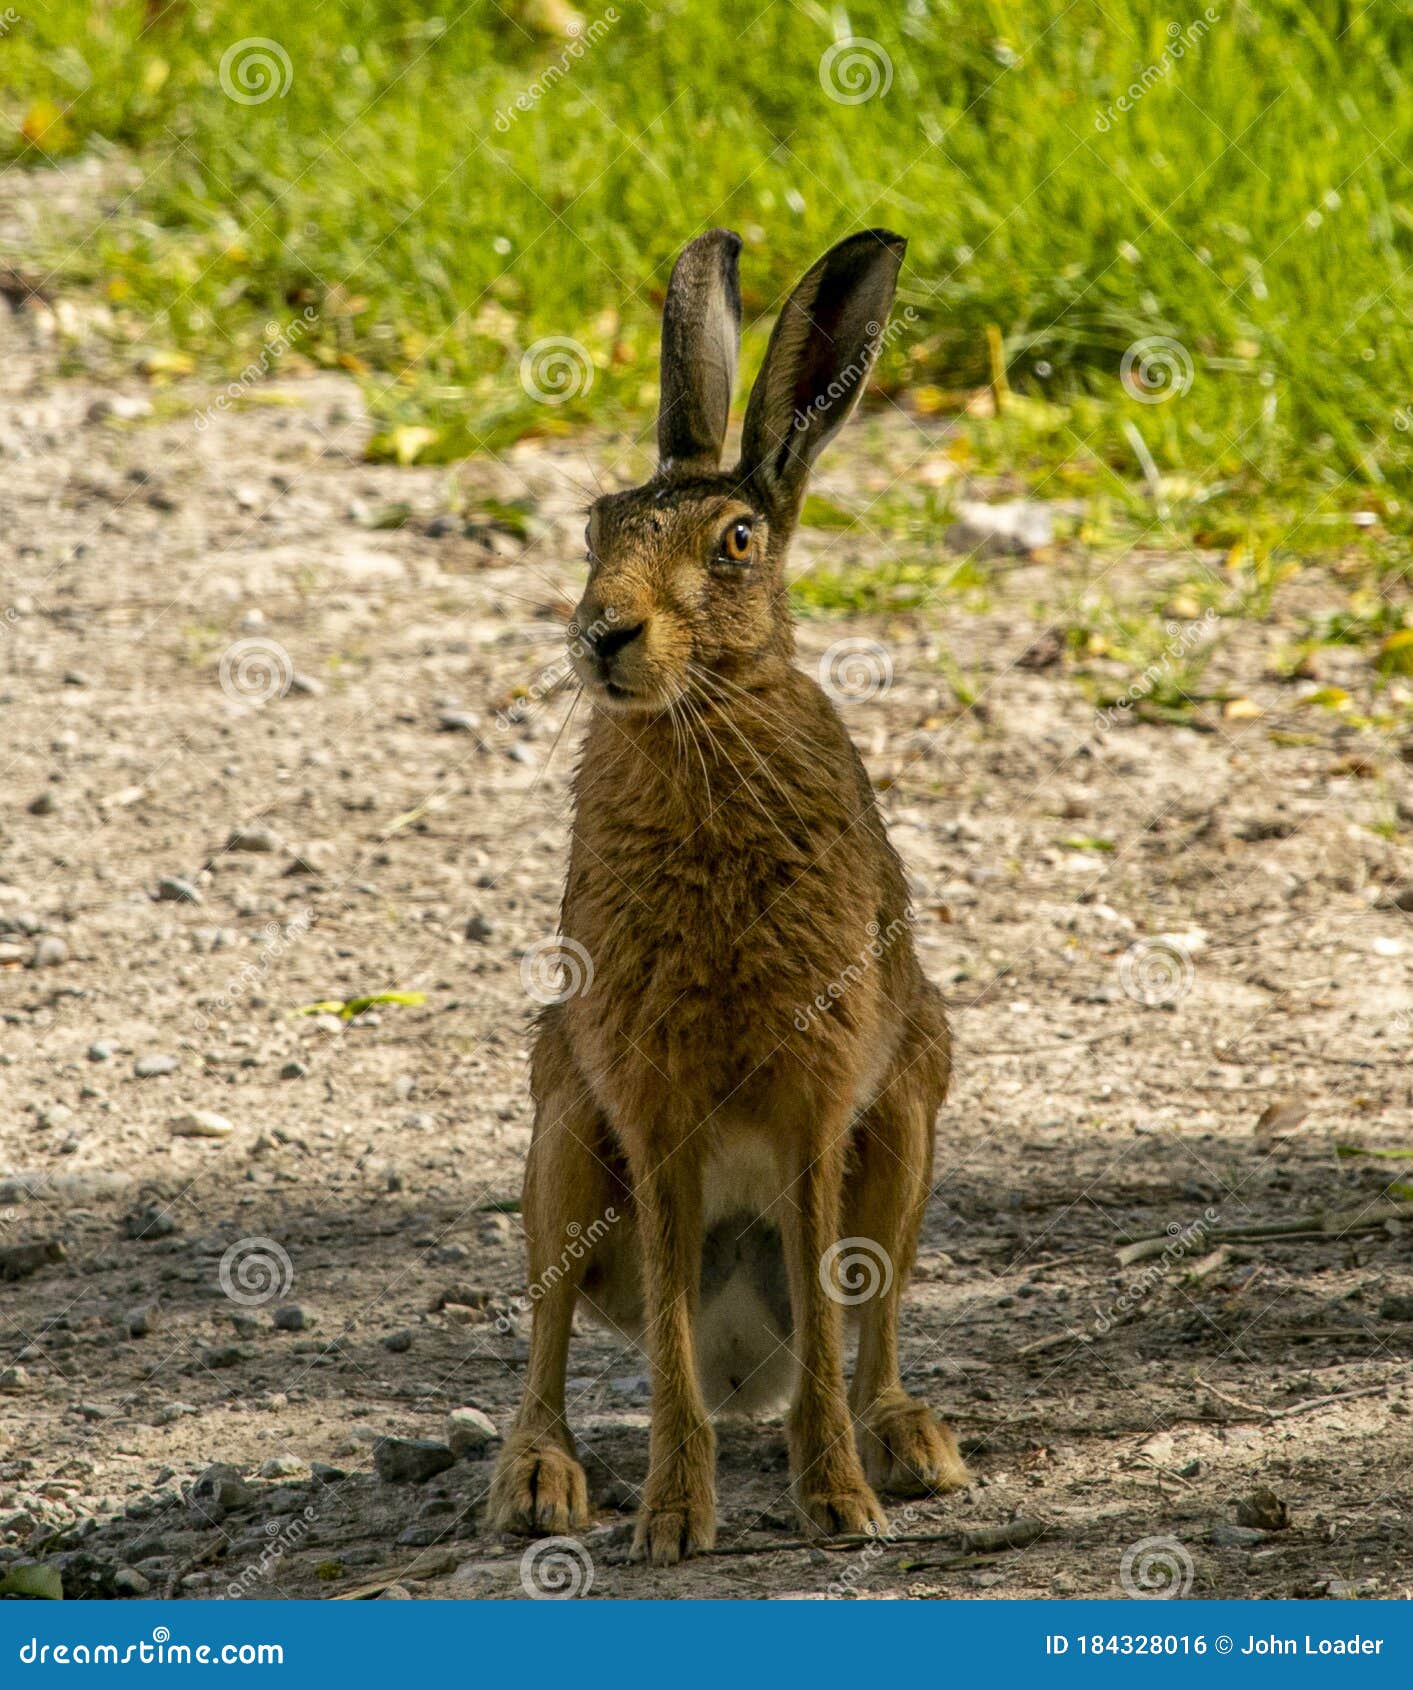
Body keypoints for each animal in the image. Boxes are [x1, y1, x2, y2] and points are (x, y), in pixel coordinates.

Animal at [487, 228, 967, 1566]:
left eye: (738, 542)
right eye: (594, 528)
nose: (605, 633)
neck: (699, 720)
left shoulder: (819, 1092)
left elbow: (824, 1294)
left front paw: (838, 1503)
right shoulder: (650, 1103)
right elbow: (661, 1356)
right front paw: (670, 1522)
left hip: (906, 1120)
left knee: (864, 1325)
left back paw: (909, 1446)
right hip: (563, 1135)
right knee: (557, 1333)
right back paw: (537, 1482)